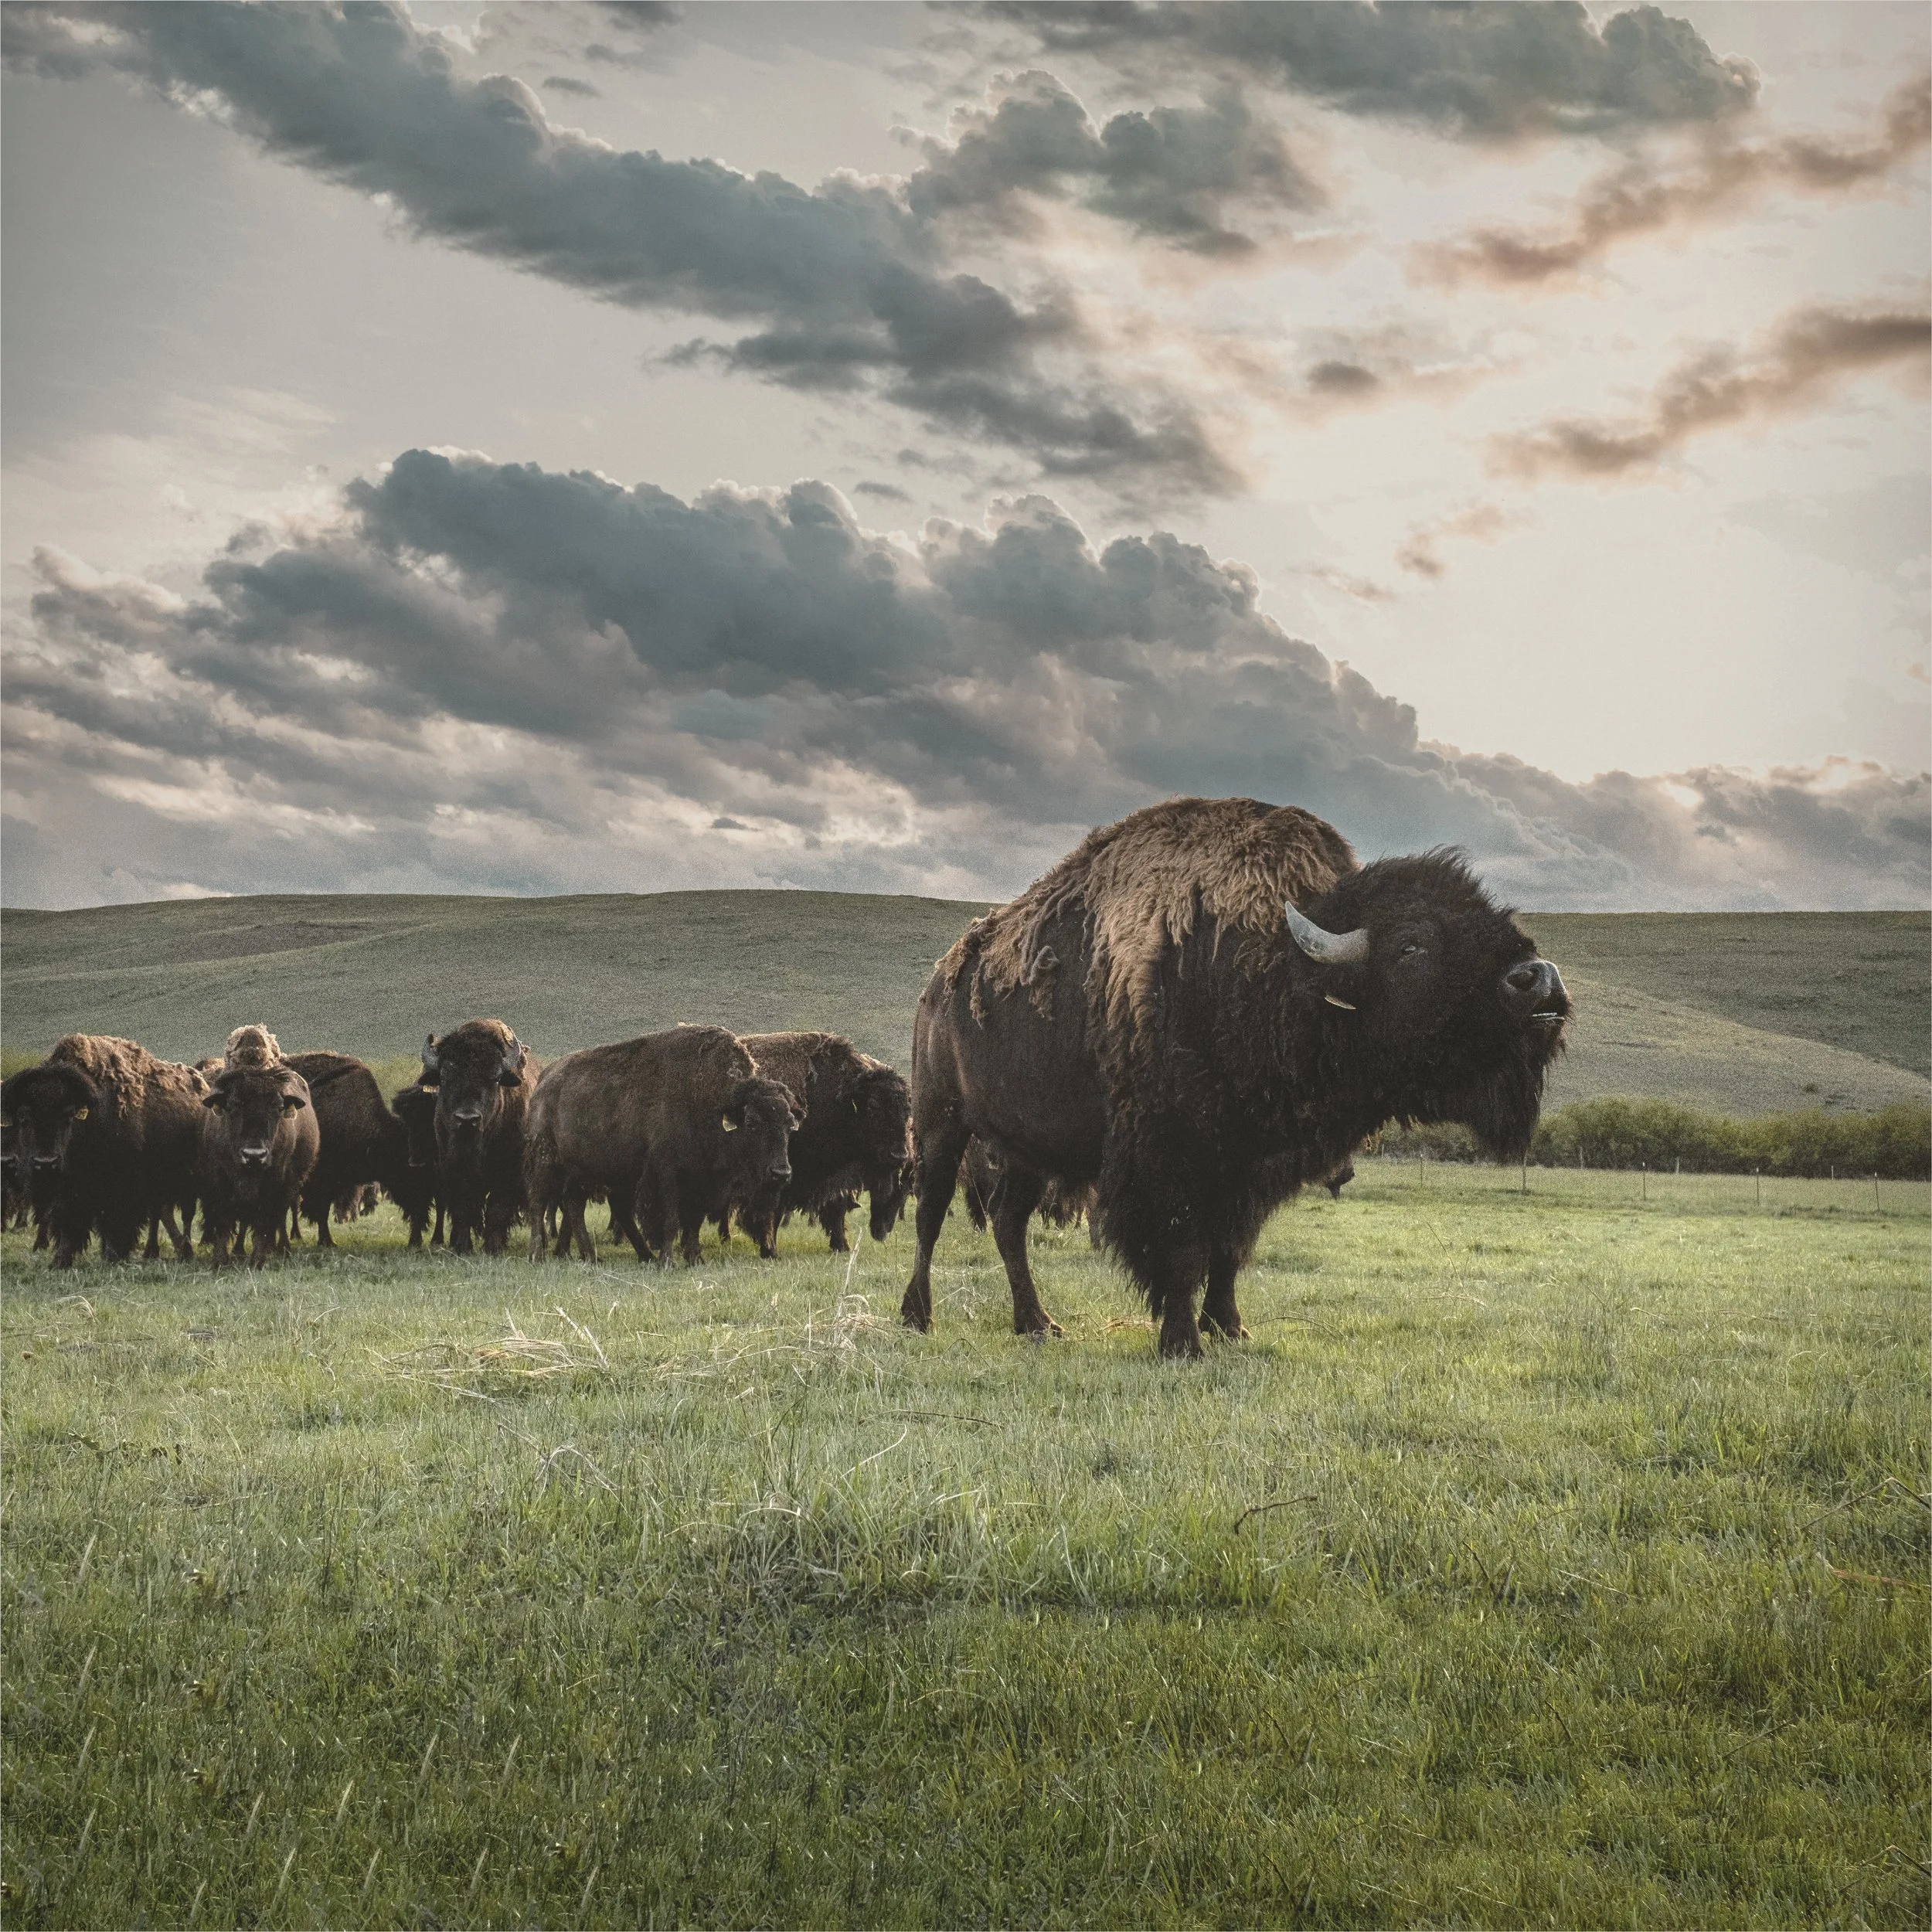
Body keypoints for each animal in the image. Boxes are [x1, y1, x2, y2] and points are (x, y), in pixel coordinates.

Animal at [1, 1035, 206, 1268]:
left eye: (68, 1116)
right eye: (24, 1119)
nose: (46, 1162)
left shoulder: (120, 1186)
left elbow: (114, 1221)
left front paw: (112, 1255)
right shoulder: (68, 1190)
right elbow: (67, 1220)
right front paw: (60, 1260)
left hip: (186, 1184)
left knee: (183, 1215)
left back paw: (181, 1251)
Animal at [199, 1063, 319, 1268]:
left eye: (278, 1107)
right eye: (233, 1105)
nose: (254, 1155)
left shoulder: (274, 1182)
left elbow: (263, 1221)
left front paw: (257, 1261)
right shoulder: (219, 1179)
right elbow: (223, 1219)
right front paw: (220, 1261)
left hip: (291, 1184)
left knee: (279, 1217)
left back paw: (282, 1248)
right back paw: (239, 1250)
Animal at [419, 1020, 537, 1256]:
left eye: (495, 1079)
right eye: (444, 1077)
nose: (467, 1119)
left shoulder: (507, 1175)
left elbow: (497, 1210)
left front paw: (492, 1248)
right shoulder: (453, 1169)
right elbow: (463, 1209)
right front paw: (463, 1247)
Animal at [525, 1026, 798, 1264]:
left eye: (789, 1125)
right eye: (751, 1123)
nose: (781, 1173)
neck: (712, 1100)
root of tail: (545, 1080)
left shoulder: (701, 1180)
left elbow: (693, 1222)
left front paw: (695, 1259)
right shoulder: (666, 1173)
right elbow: (670, 1220)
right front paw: (668, 1261)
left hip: (587, 1171)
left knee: (576, 1205)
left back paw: (602, 1257)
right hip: (547, 1161)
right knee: (539, 1202)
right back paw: (538, 1255)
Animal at [901, 797, 1570, 1358]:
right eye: (1412, 946)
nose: (1538, 980)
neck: (1276, 970)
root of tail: (938, 985)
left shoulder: (1248, 1167)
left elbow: (1228, 1251)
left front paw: (1230, 1328)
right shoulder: (1170, 1160)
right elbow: (1182, 1250)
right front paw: (1182, 1343)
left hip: (1027, 1147)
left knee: (1009, 1225)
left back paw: (1038, 1325)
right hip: (941, 1124)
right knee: (931, 1215)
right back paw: (917, 1317)